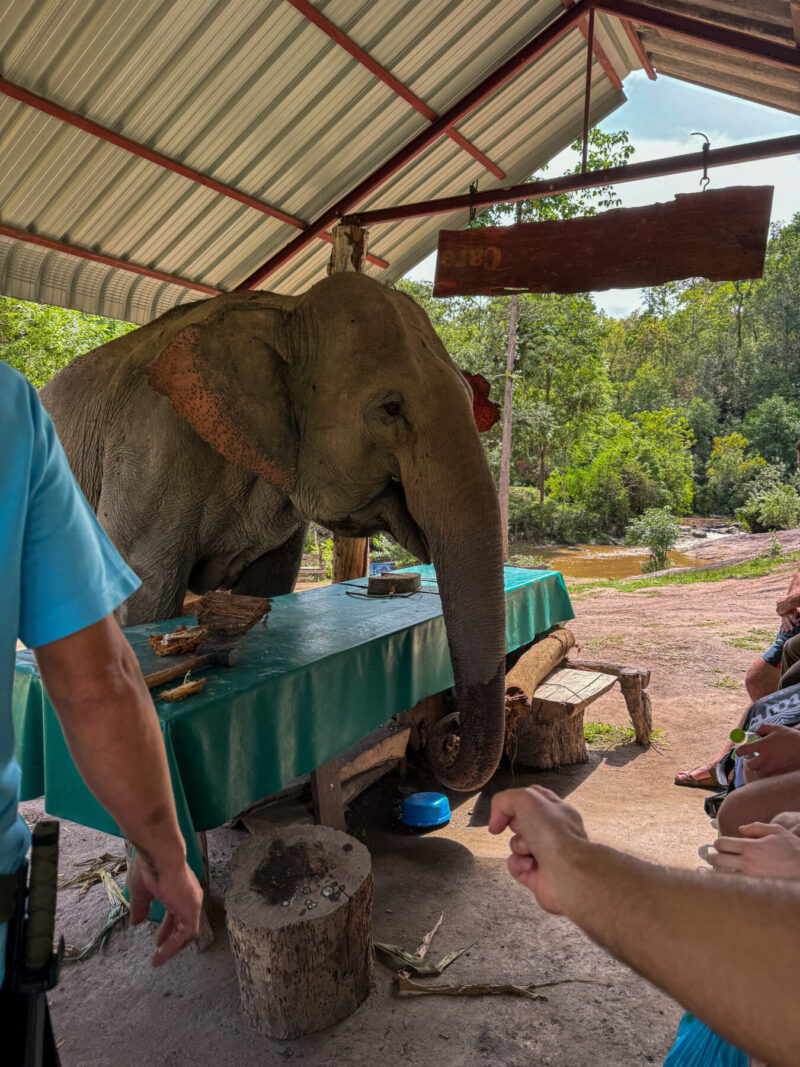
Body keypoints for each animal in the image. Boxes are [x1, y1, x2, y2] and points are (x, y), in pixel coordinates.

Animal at [40, 272, 505, 791]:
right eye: (390, 408)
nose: (448, 736)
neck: (285, 309)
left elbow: (268, 584)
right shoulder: (149, 452)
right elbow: (147, 594)